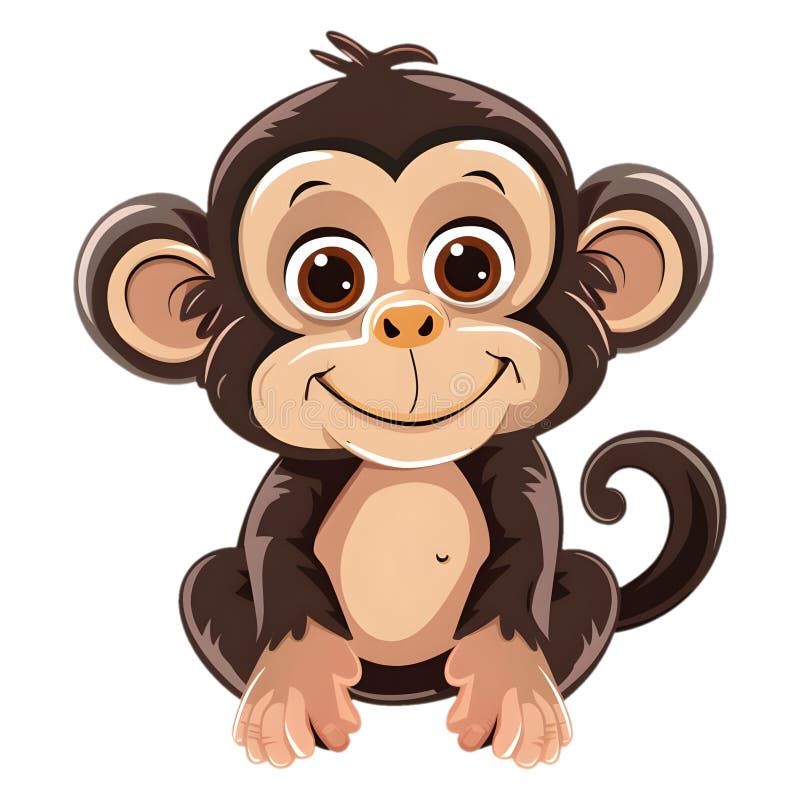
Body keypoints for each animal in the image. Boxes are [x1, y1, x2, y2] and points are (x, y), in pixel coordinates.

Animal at [75, 31, 725, 769]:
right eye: (328, 276)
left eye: (469, 265)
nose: (409, 320)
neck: (407, 468)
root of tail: (404, 690)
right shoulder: (298, 477)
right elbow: (272, 546)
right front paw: (295, 682)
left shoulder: (518, 470)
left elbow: (530, 547)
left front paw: (509, 683)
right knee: (209, 581)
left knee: (589, 583)